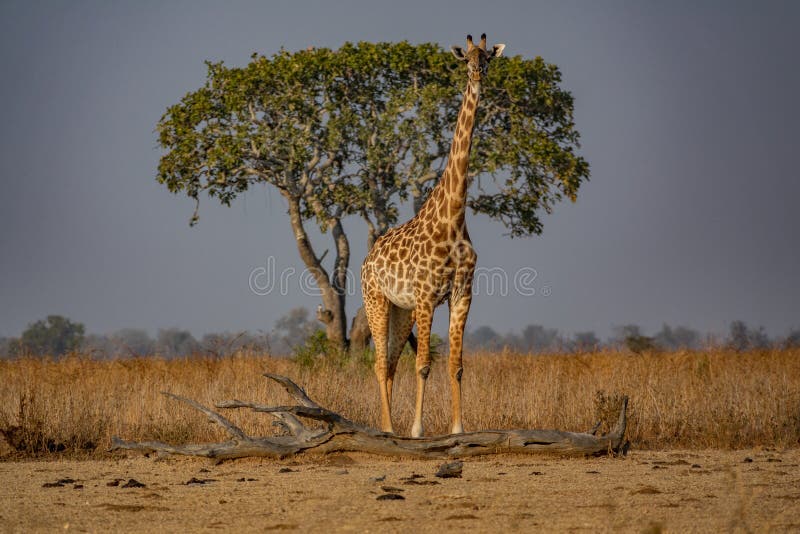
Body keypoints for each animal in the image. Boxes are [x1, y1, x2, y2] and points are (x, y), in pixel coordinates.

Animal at [361, 33, 505, 437]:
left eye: (488, 58)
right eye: (466, 60)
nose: (477, 75)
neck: (453, 218)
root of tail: (366, 260)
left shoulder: (461, 294)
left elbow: (456, 365)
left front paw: (458, 429)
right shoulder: (427, 296)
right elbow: (424, 364)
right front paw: (417, 430)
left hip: (401, 310)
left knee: (390, 364)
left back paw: (388, 425)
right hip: (376, 300)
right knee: (379, 363)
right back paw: (389, 429)